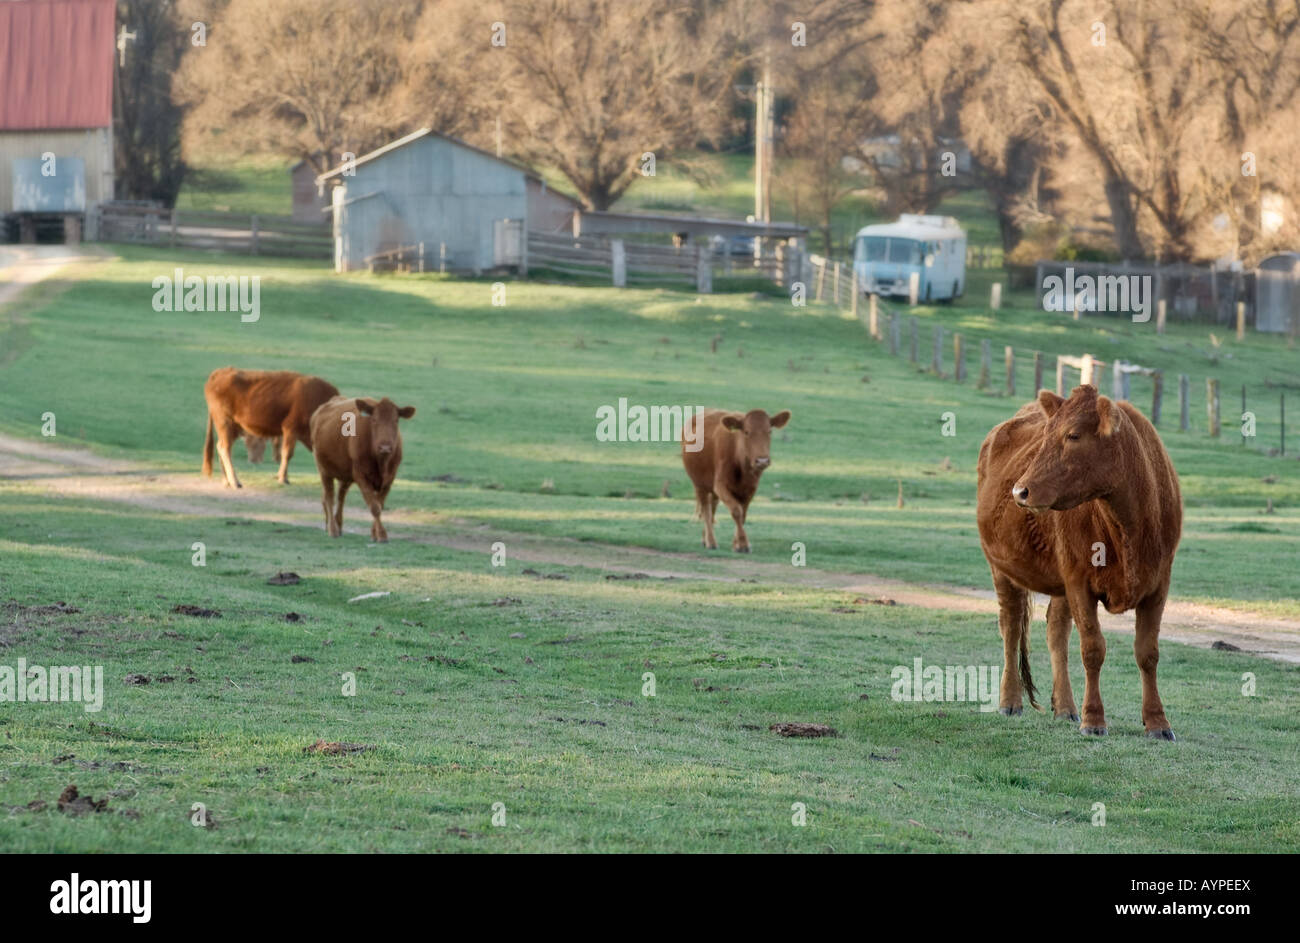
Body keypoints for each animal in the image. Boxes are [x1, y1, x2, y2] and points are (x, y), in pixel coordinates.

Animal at [202, 368, 339, 488]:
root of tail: (219, 373)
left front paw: (282, 476)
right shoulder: (290, 429)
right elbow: (287, 454)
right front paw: (283, 479)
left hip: (233, 428)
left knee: (220, 446)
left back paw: (226, 481)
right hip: (226, 424)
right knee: (225, 448)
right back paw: (235, 482)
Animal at [309, 395, 415, 542]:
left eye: (396, 420)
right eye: (374, 420)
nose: (385, 447)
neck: (381, 462)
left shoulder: (390, 479)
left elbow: (379, 504)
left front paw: (374, 533)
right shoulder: (361, 476)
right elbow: (375, 507)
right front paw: (382, 535)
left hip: (346, 476)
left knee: (340, 497)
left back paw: (338, 524)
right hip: (324, 470)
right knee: (329, 497)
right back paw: (333, 529)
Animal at [681, 408, 791, 552]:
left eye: (769, 431)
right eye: (746, 432)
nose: (762, 461)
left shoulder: (750, 489)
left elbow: (743, 514)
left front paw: (736, 543)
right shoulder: (720, 485)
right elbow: (737, 511)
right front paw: (743, 544)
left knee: (712, 507)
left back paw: (705, 539)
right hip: (699, 484)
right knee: (706, 509)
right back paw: (711, 541)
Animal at [976, 385, 1182, 739]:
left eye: (1073, 435)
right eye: (1046, 435)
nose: (1019, 491)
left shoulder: (1158, 584)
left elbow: (1147, 652)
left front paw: (1157, 722)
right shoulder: (1080, 582)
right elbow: (1093, 649)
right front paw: (1094, 719)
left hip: (1060, 583)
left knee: (1056, 633)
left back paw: (1065, 707)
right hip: (1002, 567)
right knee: (1011, 625)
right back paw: (1010, 701)